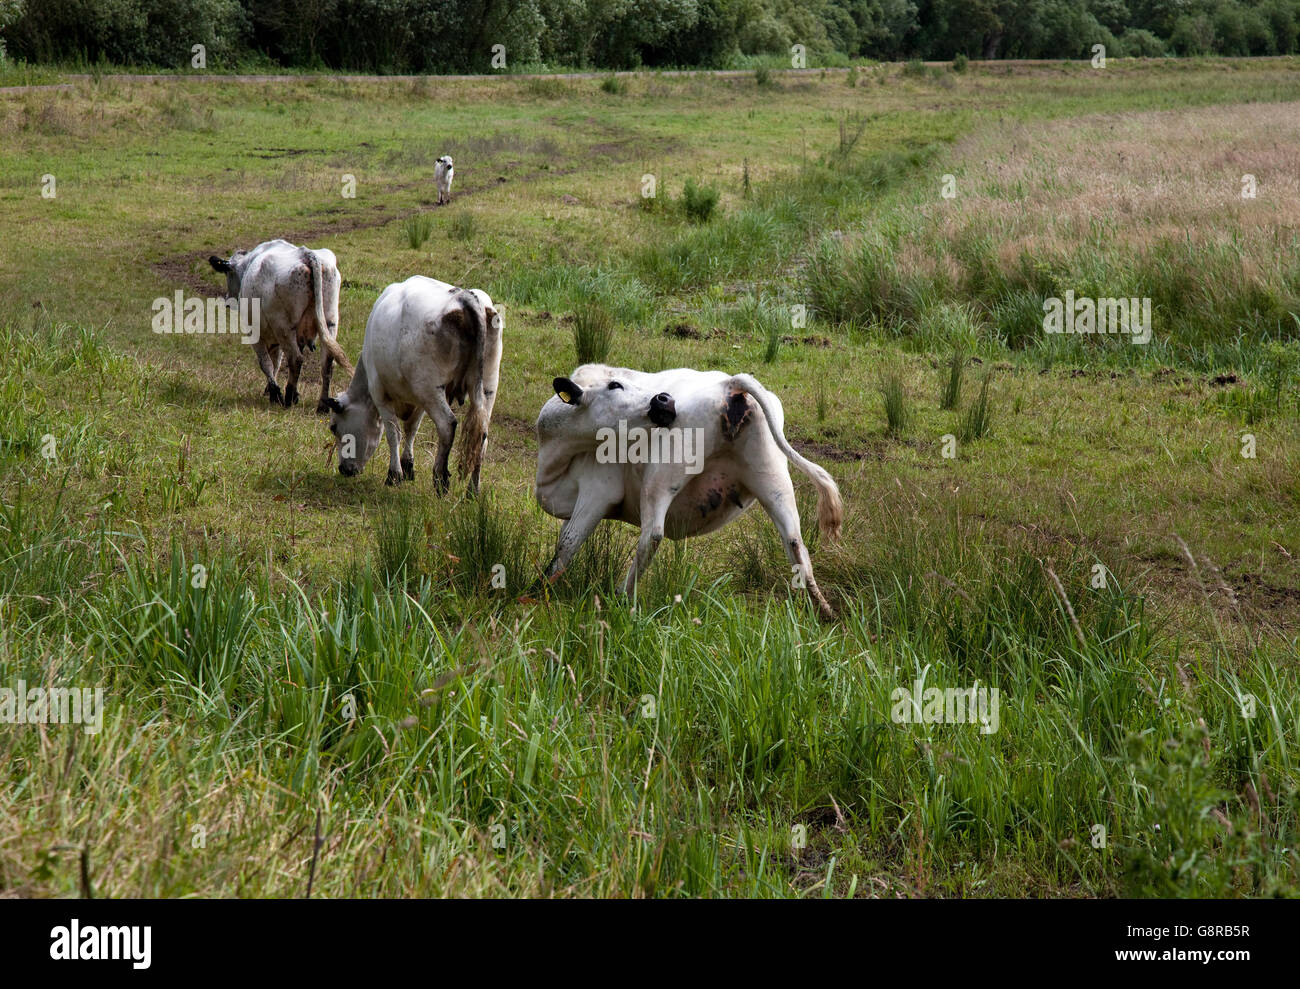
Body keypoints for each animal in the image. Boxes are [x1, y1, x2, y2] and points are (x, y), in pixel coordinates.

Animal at [208, 239, 352, 411]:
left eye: (228, 274)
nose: (227, 300)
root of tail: (307, 254)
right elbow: (276, 362)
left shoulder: (255, 333)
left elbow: (267, 363)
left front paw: (275, 393)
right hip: (330, 323)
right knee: (327, 364)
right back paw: (322, 405)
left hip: (283, 327)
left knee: (296, 359)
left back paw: (288, 398)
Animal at [324, 275, 503, 494]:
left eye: (334, 427)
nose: (344, 469)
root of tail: (463, 297)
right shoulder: (418, 399)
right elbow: (411, 428)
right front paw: (408, 466)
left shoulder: (380, 392)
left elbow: (394, 433)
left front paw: (394, 474)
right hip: (485, 387)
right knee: (481, 434)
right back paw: (473, 490)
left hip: (430, 388)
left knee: (447, 424)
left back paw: (441, 479)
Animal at [535, 365, 842, 618]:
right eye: (615, 385)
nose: (663, 398)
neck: (555, 451)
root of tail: (730, 384)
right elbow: (563, 539)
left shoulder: (597, 492)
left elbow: (567, 544)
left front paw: (539, 590)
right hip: (772, 477)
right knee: (794, 540)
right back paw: (822, 609)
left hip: (661, 475)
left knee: (652, 535)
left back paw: (621, 596)